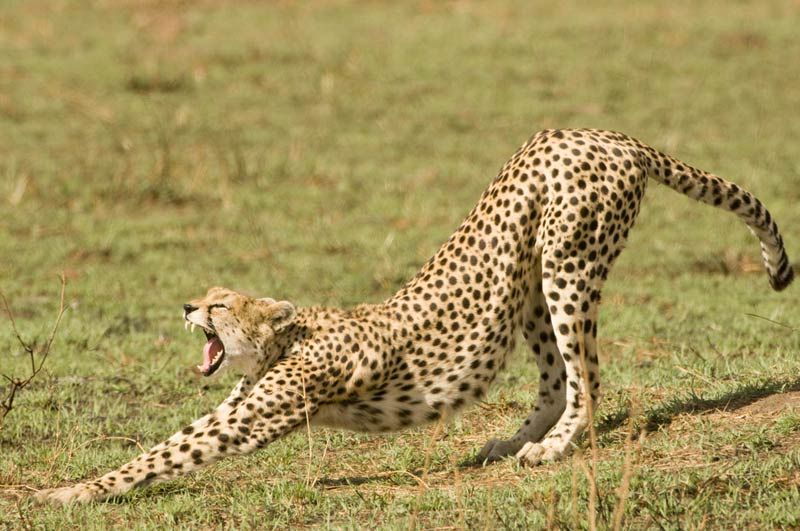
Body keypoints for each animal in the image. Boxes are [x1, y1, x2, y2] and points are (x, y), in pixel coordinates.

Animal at [35, 128, 793, 504]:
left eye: (221, 302)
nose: (189, 305)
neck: (286, 337)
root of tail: (603, 132)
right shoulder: (239, 403)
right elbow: (168, 442)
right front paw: (73, 488)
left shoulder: (252, 417)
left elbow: (165, 454)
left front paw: (69, 494)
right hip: (529, 278)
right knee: (555, 376)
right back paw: (507, 443)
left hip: (567, 261)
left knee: (587, 375)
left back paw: (553, 448)